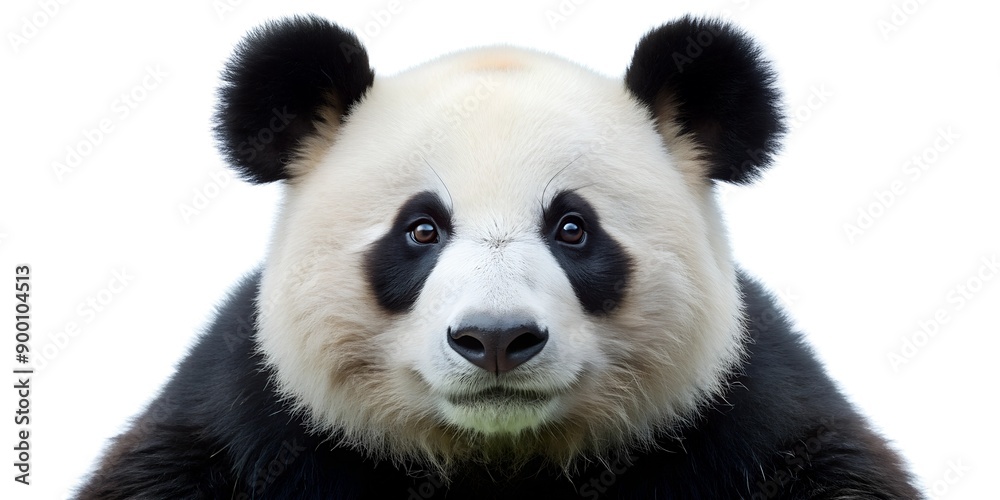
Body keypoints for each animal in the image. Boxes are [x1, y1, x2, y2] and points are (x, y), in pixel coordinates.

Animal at [77, 15, 922, 499]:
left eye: (573, 228)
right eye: (421, 231)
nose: (495, 339)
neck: (497, 458)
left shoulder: (743, 424)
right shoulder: (251, 426)